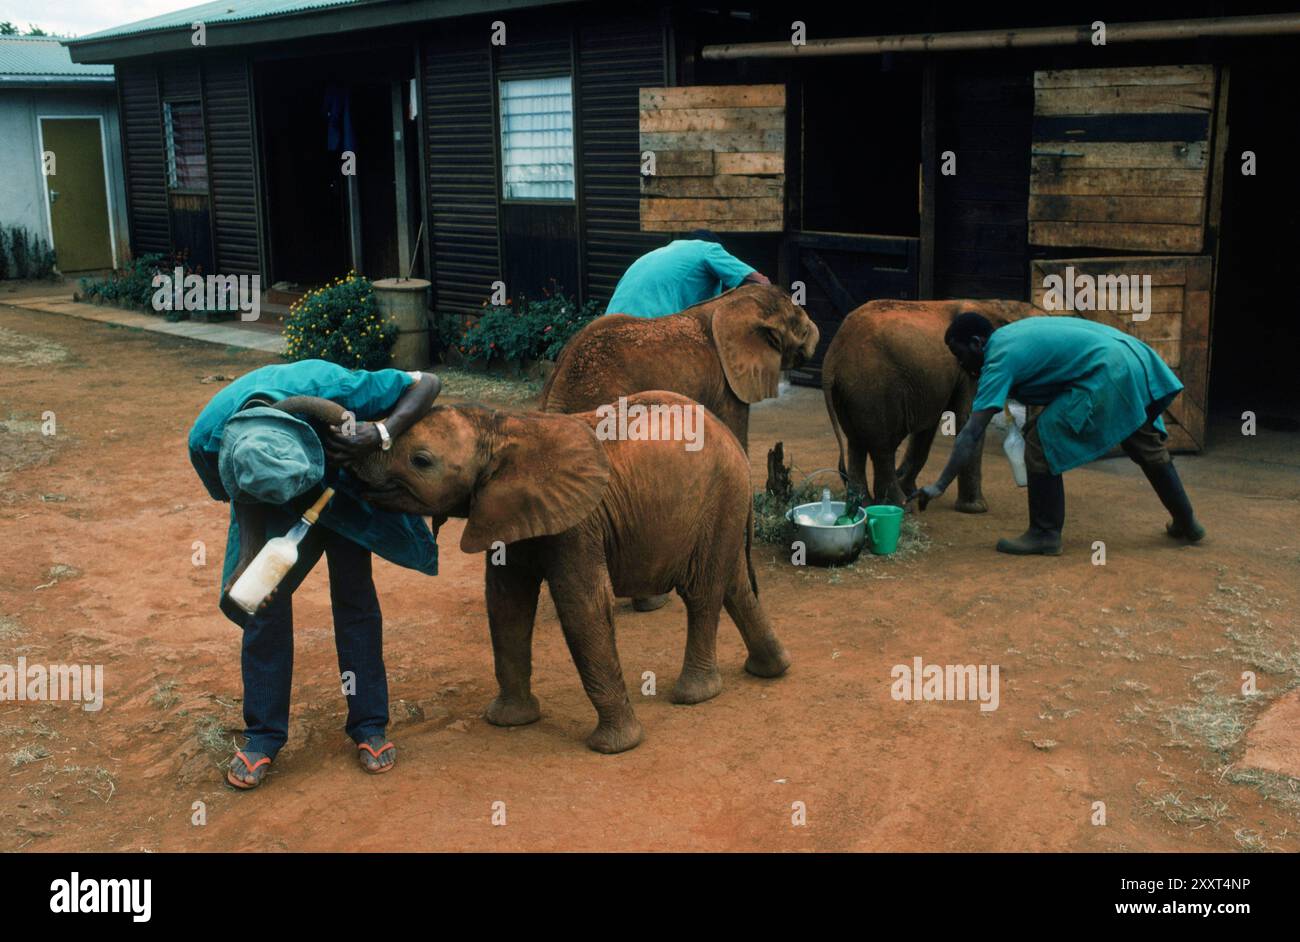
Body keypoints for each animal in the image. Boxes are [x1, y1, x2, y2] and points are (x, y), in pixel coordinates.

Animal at [274, 390, 790, 754]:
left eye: (421, 461)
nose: (268, 408)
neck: (503, 428)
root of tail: (732, 437)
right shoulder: (507, 509)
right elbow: (506, 601)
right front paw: (508, 721)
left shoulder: (580, 519)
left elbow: (582, 605)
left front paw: (615, 747)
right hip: (724, 501)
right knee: (734, 586)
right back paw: (772, 670)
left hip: (721, 494)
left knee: (703, 591)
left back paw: (694, 696)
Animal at [821, 299, 1042, 511]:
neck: (1001, 305)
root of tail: (833, 354)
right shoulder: (974, 371)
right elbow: (967, 421)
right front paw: (975, 509)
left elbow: (927, 430)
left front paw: (913, 490)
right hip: (873, 386)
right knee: (882, 446)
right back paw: (902, 506)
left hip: (851, 391)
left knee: (856, 442)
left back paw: (863, 504)